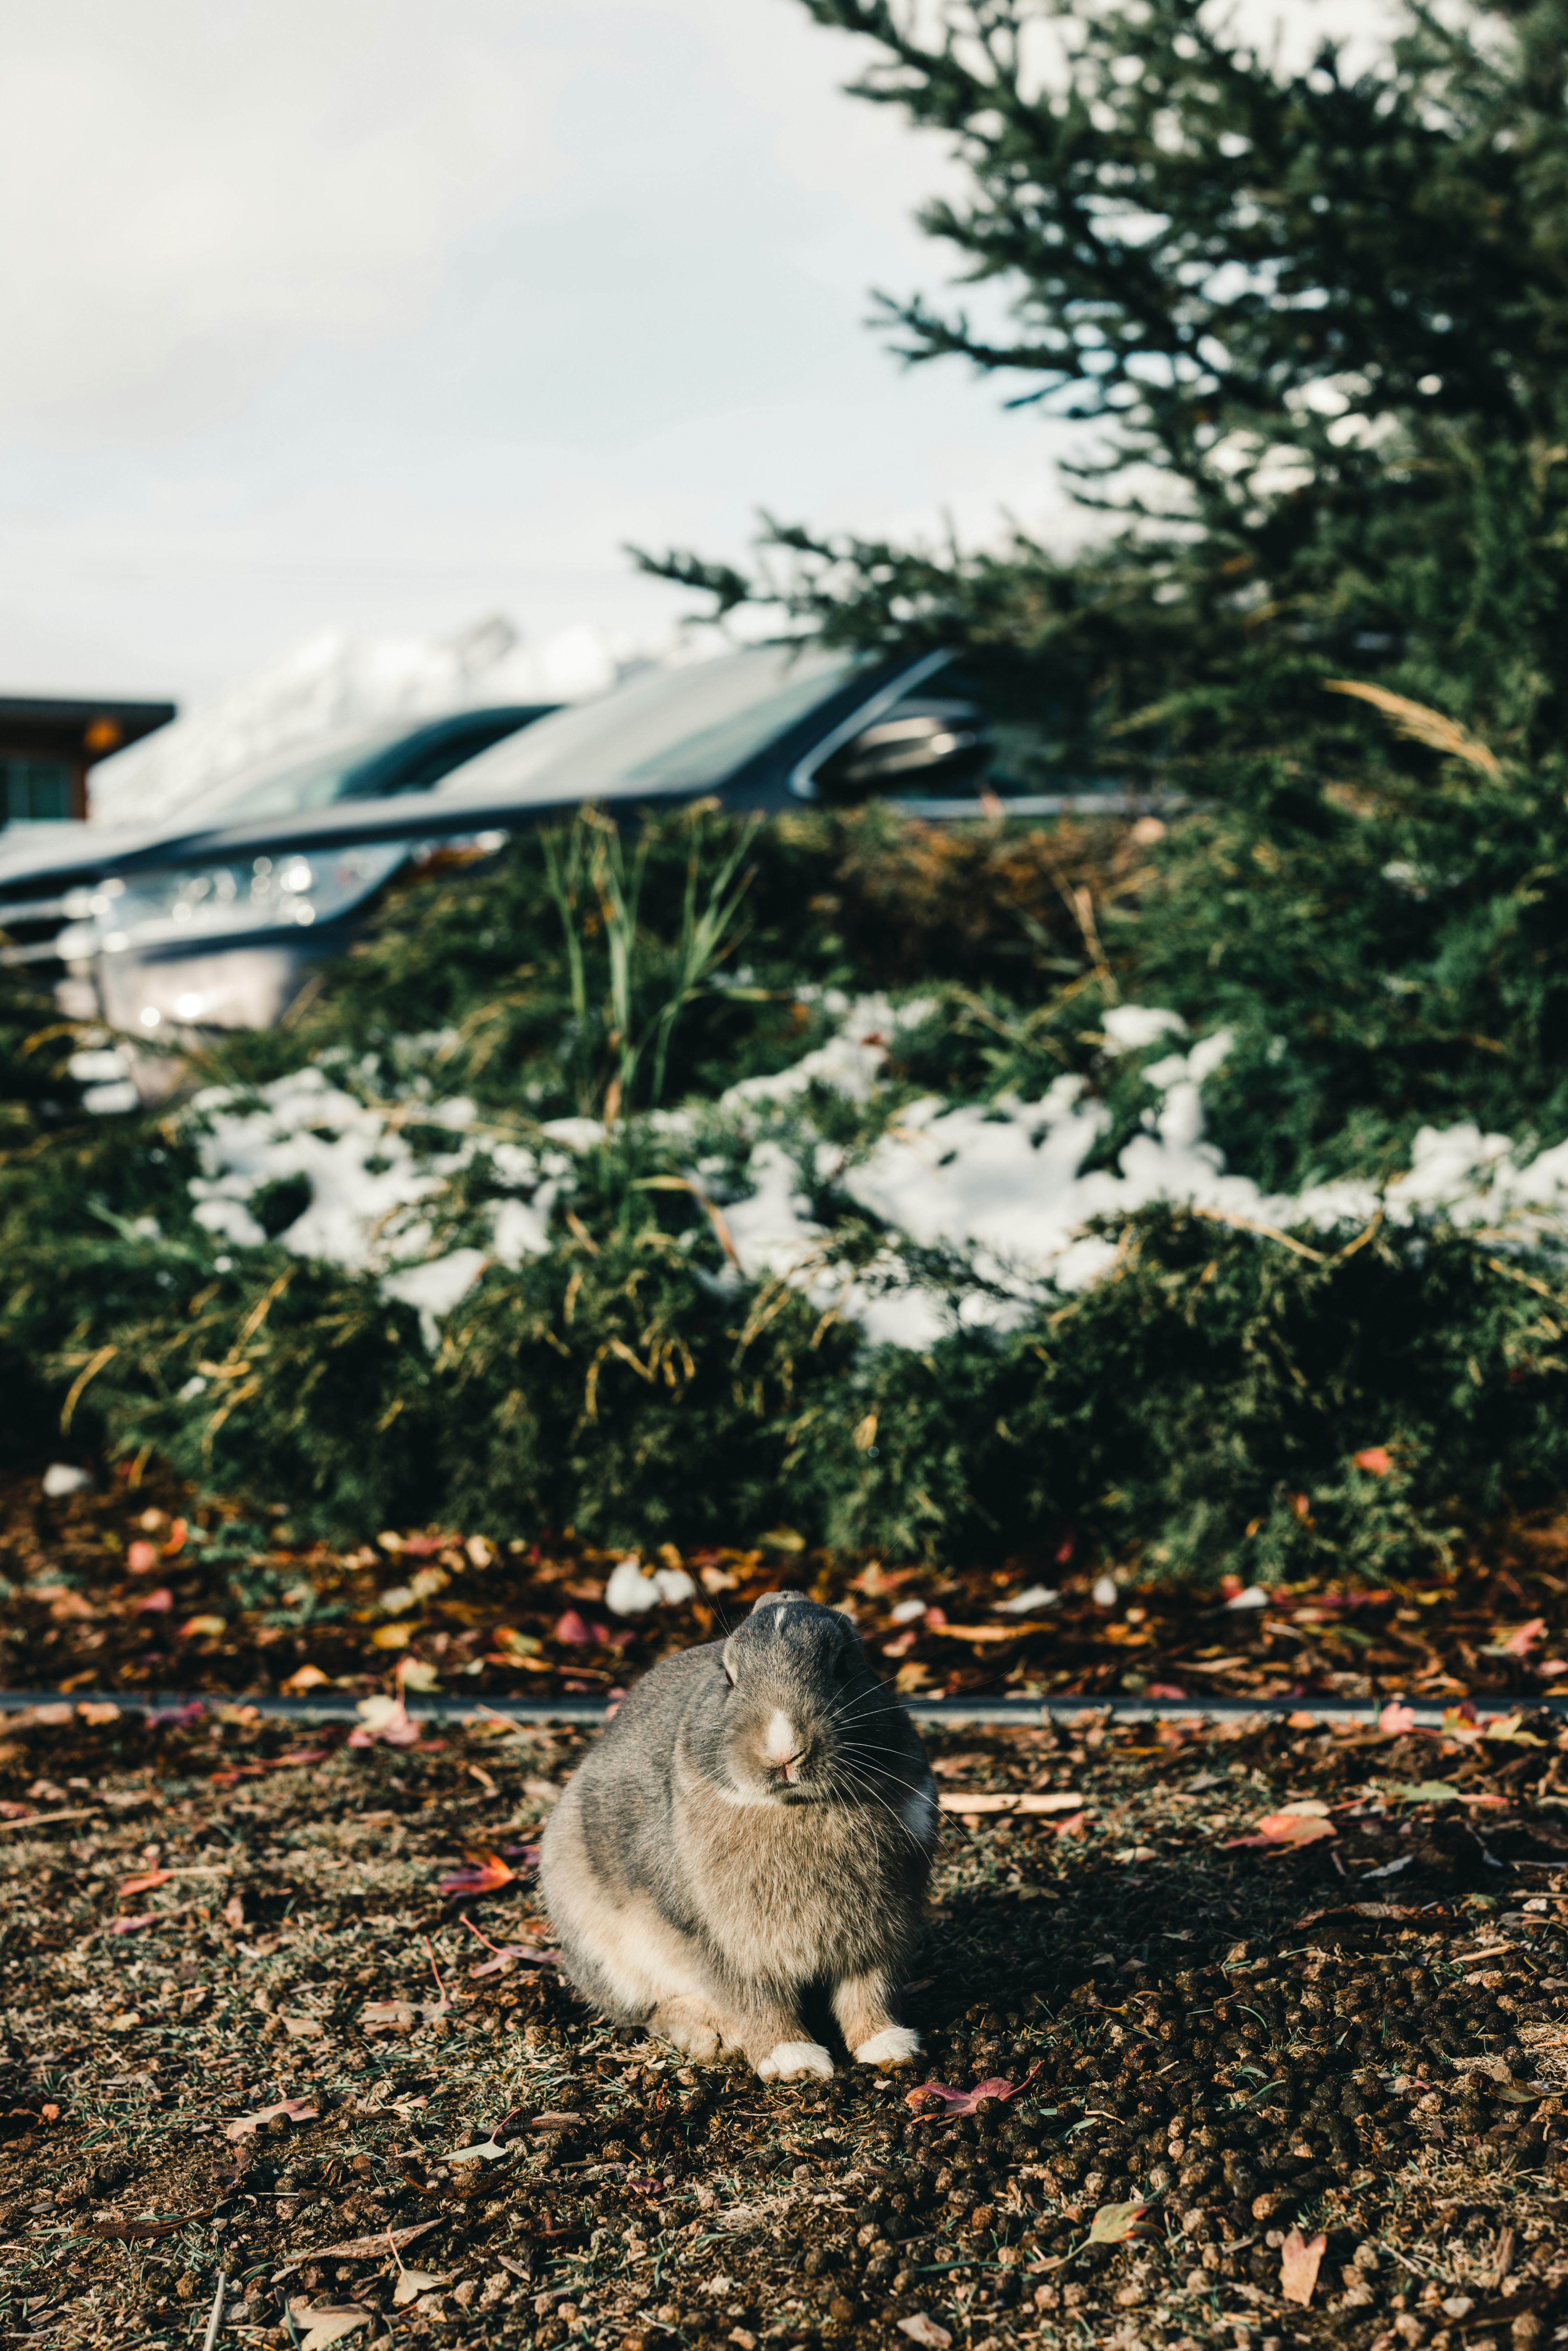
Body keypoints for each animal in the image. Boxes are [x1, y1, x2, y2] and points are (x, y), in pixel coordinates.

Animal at [538, 1588, 936, 2081]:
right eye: (728, 1676)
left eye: (843, 1663)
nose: (784, 1752)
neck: (793, 1809)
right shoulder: (724, 1945)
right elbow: (757, 2001)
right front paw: (792, 2062)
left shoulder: (882, 1931)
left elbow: (870, 1990)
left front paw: (889, 2047)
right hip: (603, 1947)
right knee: (649, 2012)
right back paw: (716, 2036)